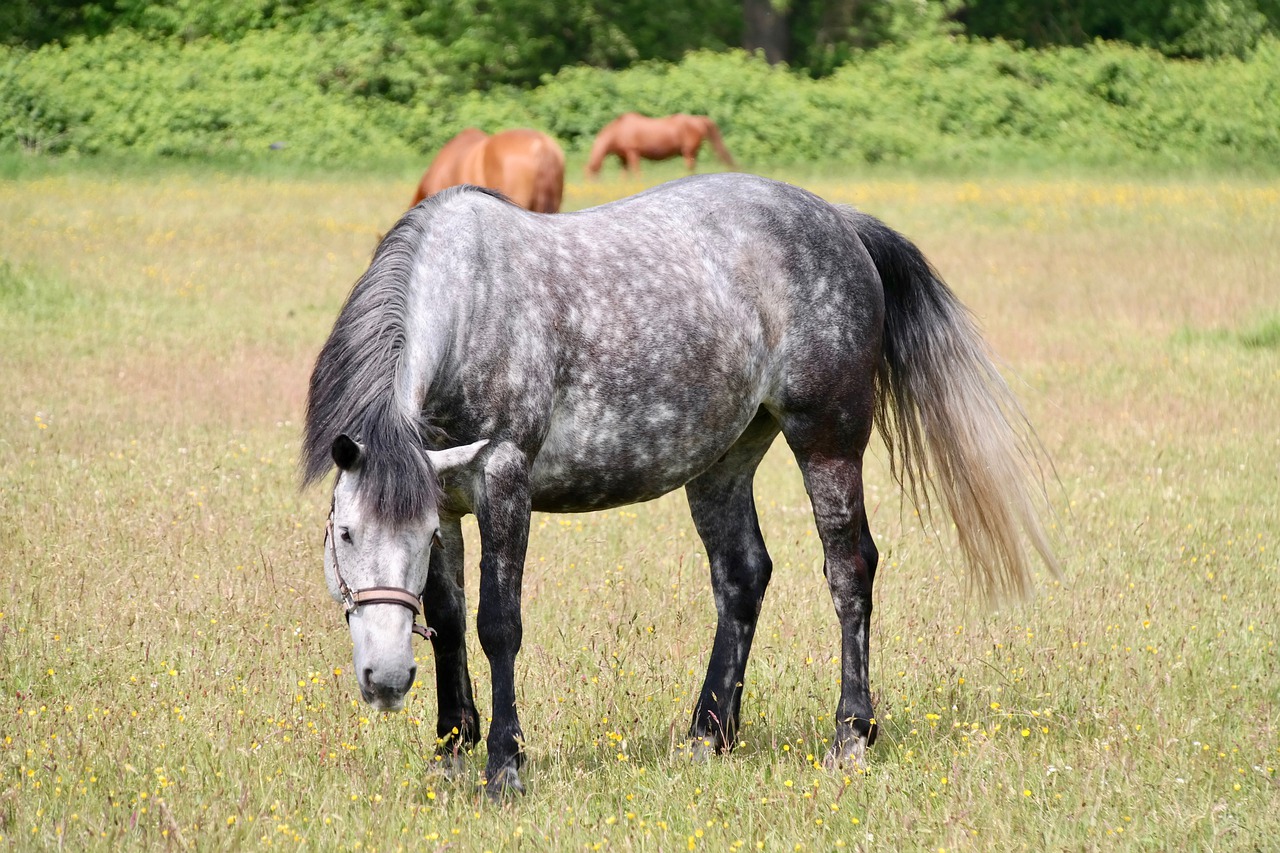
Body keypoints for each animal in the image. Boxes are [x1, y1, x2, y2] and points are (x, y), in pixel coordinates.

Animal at [302, 172, 1058, 797]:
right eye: (345, 533)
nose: (386, 680)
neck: (470, 306)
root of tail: (840, 222)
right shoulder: (449, 498)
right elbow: (450, 619)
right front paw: (451, 751)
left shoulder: (503, 482)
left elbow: (498, 625)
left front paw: (504, 767)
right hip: (724, 460)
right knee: (743, 576)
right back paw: (708, 735)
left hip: (828, 441)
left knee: (849, 570)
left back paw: (850, 735)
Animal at [586, 113, 737, 178]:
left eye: (591, 176)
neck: (619, 130)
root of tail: (698, 119)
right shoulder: (623, 158)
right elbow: (624, 177)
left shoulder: (633, 153)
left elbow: (637, 173)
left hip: (689, 153)